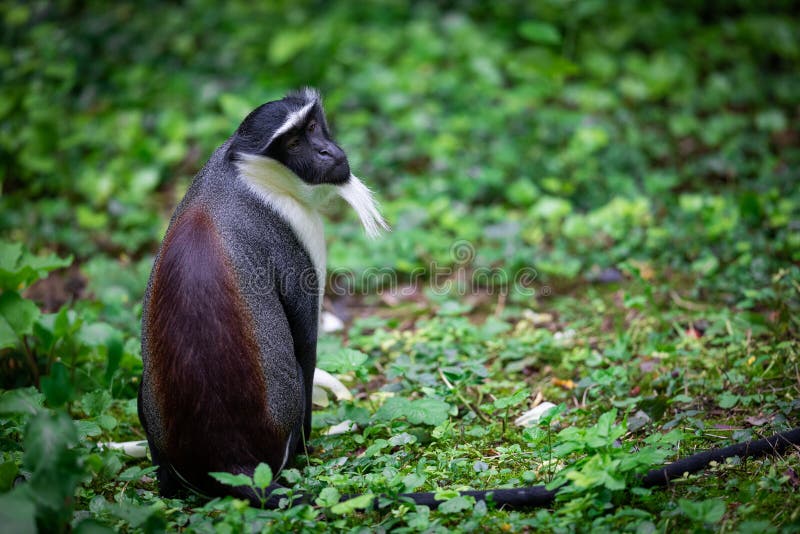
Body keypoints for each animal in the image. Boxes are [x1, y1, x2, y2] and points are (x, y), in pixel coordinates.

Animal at [138, 88, 800, 510]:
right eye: (297, 140)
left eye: (316, 126)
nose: (329, 153)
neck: (246, 172)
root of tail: (231, 466)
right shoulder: (294, 236)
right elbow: (303, 341)